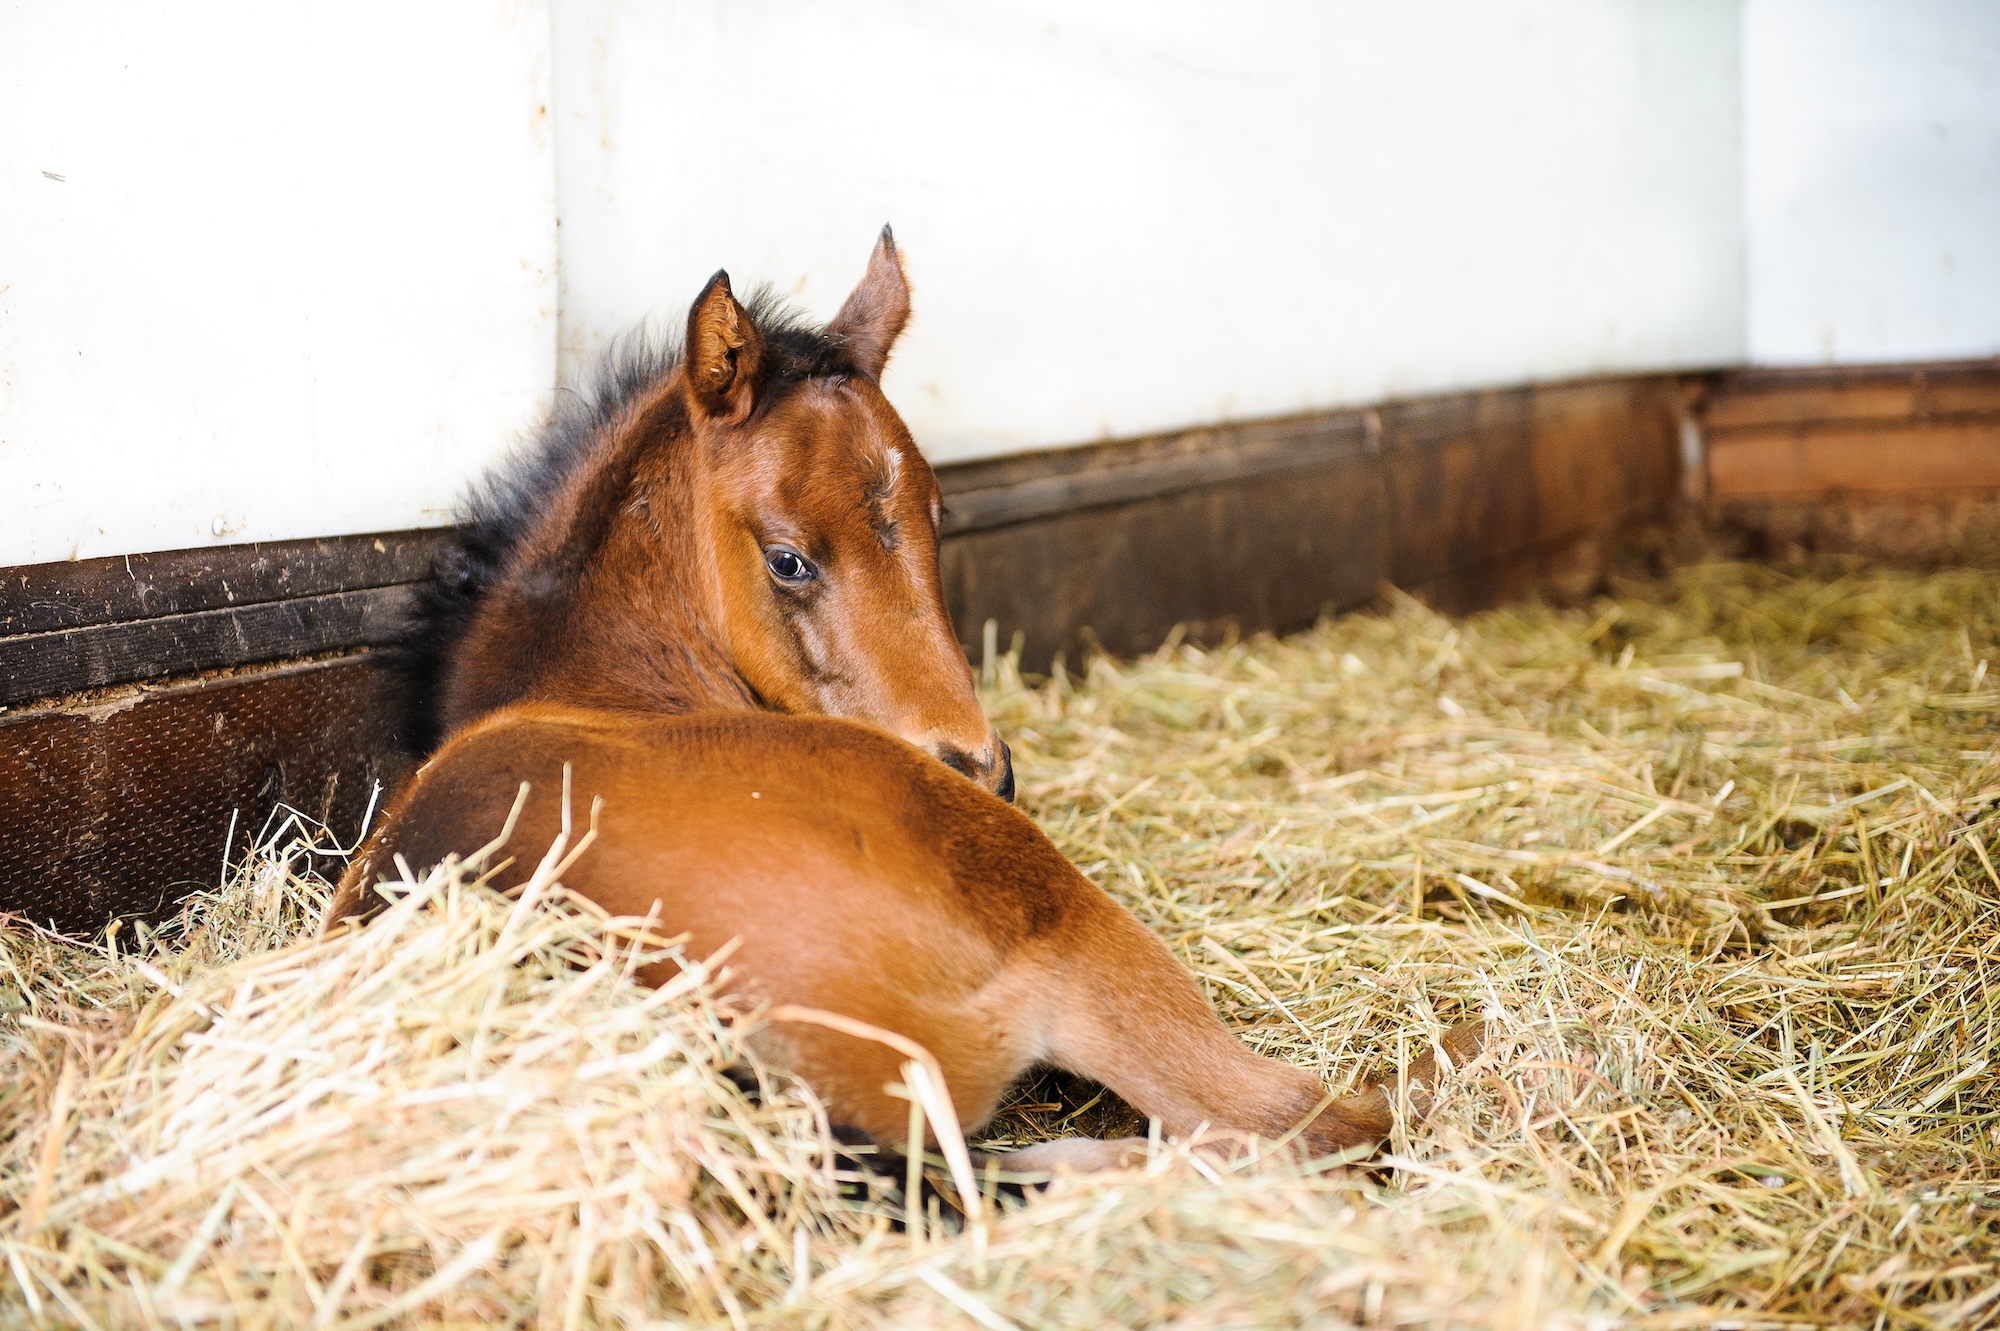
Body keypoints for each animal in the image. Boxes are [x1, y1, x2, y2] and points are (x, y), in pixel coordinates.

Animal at [328, 230, 1484, 1171]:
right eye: (788, 558)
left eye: (941, 513)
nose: (980, 766)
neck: (595, 687)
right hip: (1072, 921)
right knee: (1322, 1122)